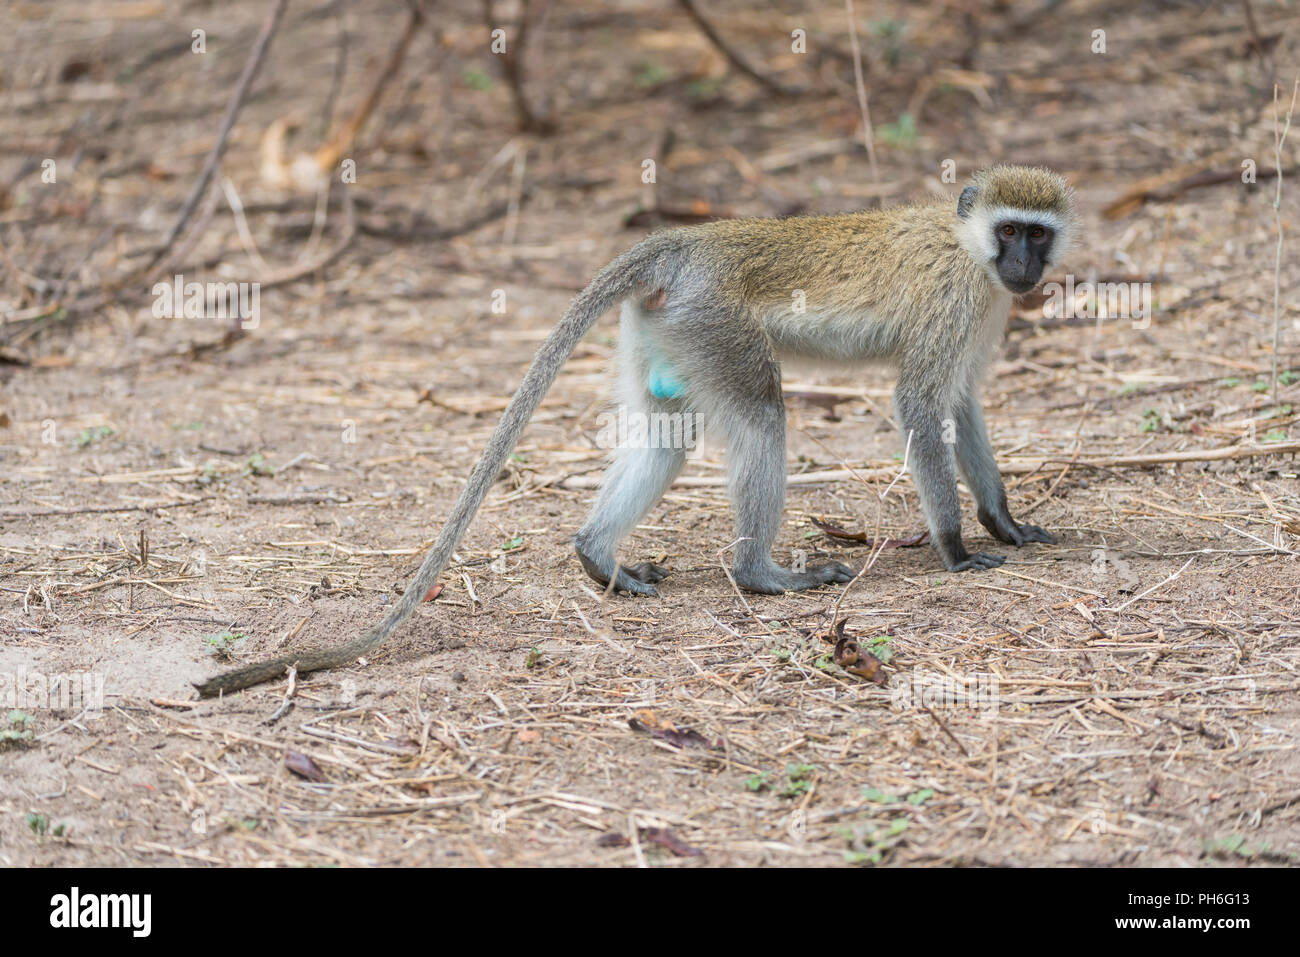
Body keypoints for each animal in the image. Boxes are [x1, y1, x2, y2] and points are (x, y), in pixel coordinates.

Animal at [196, 164, 1078, 696]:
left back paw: (598, 554)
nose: (1025, 268)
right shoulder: (954, 297)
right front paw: (956, 549)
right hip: (714, 319)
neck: (968, 248)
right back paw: (762, 575)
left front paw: (1004, 521)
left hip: (668, 326)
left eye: (1037, 233)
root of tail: (688, 240)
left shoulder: (985, 311)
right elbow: (923, 408)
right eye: (1010, 231)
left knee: (667, 435)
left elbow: (964, 407)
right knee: (762, 416)